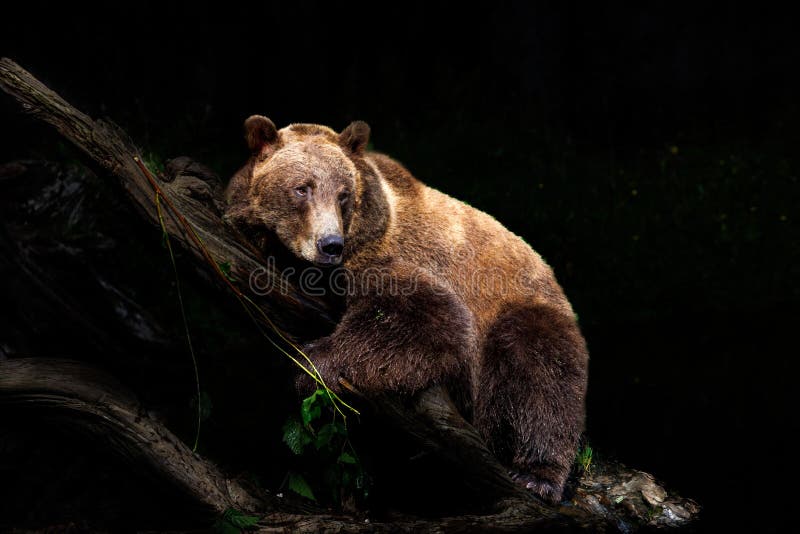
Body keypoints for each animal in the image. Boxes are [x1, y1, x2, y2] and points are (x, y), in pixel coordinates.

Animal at [224, 116, 589, 503]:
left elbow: (430, 318)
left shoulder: (385, 258)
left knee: (539, 375)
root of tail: (554, 279)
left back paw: (537, 475)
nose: (330, 244)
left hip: (520, 308)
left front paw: (313, 362)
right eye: (301, 188)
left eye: (342, 194)